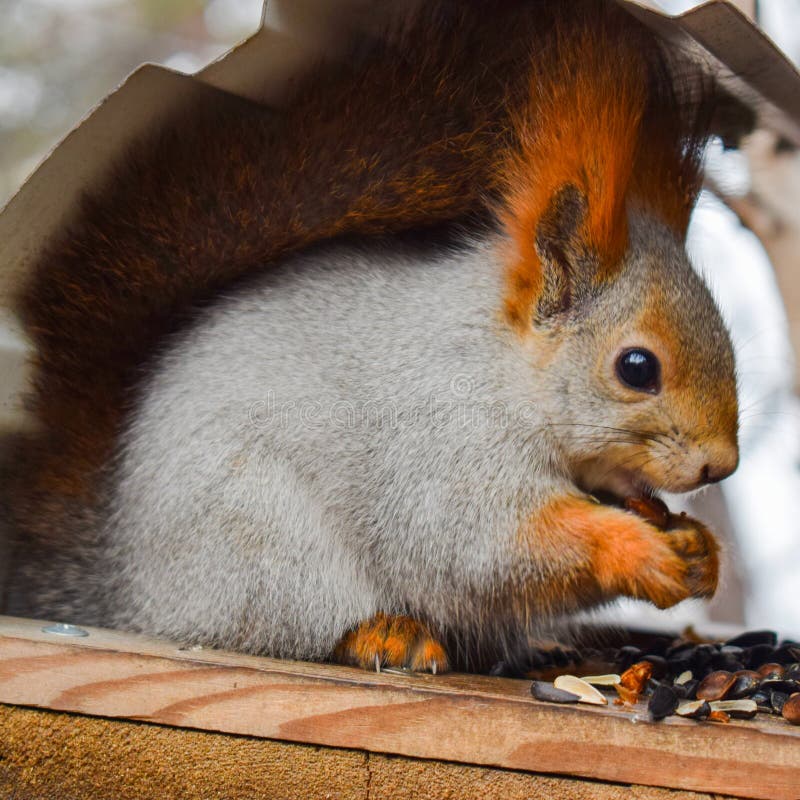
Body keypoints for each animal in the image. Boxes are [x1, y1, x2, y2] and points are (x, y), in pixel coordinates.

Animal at [1, 0, 739, 672]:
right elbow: (482, 547)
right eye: (637, 367)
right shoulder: (437, 442)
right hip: (261, 546)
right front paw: (638, 549)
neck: (503, 370)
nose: (720, 466)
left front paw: (698, 548)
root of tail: (126, 592)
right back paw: (384, 635)